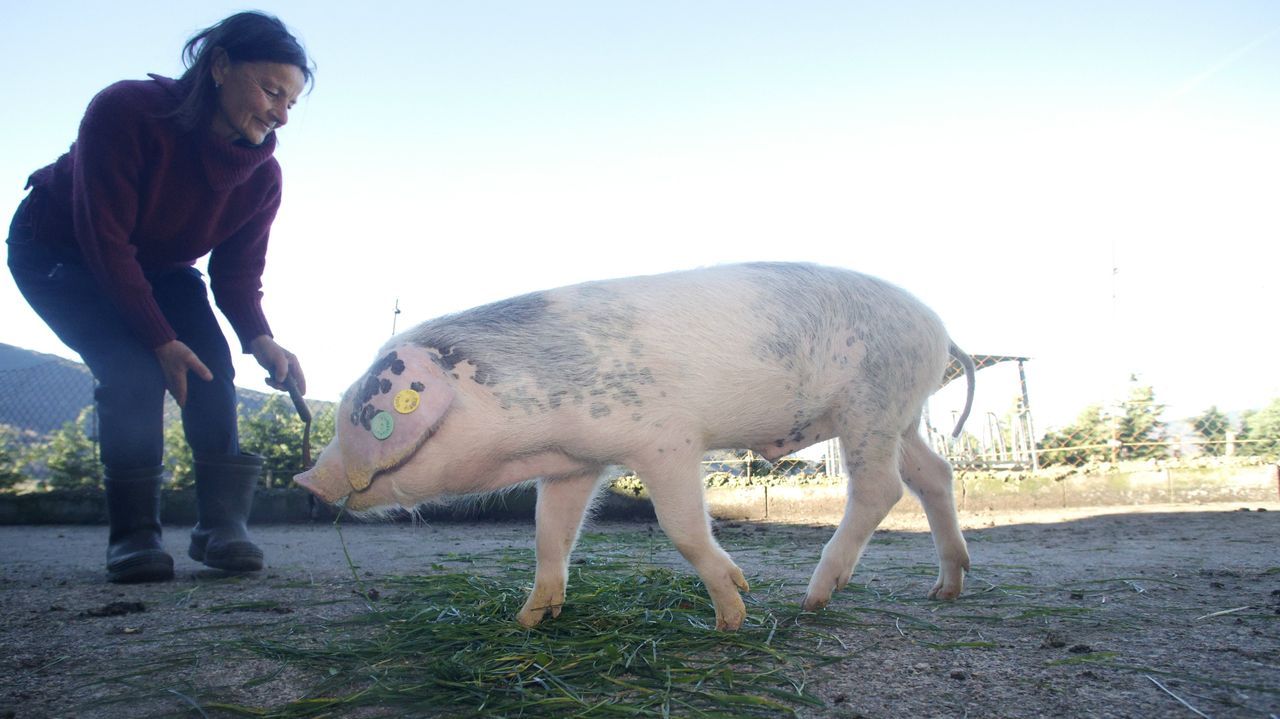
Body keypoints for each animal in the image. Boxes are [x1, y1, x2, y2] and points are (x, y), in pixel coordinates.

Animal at [296, 262, 975, 630]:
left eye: (360, 415)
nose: (305, 482)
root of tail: (941, 330)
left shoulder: (666, 441)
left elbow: (682, 528)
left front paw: (735, 614)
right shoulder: (573, 465)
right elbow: (549, 535)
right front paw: (530, 619)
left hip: (871, 406)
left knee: (882, 488)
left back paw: (812, 599)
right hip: (900, 417)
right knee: (934, 474)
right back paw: (944, 591)